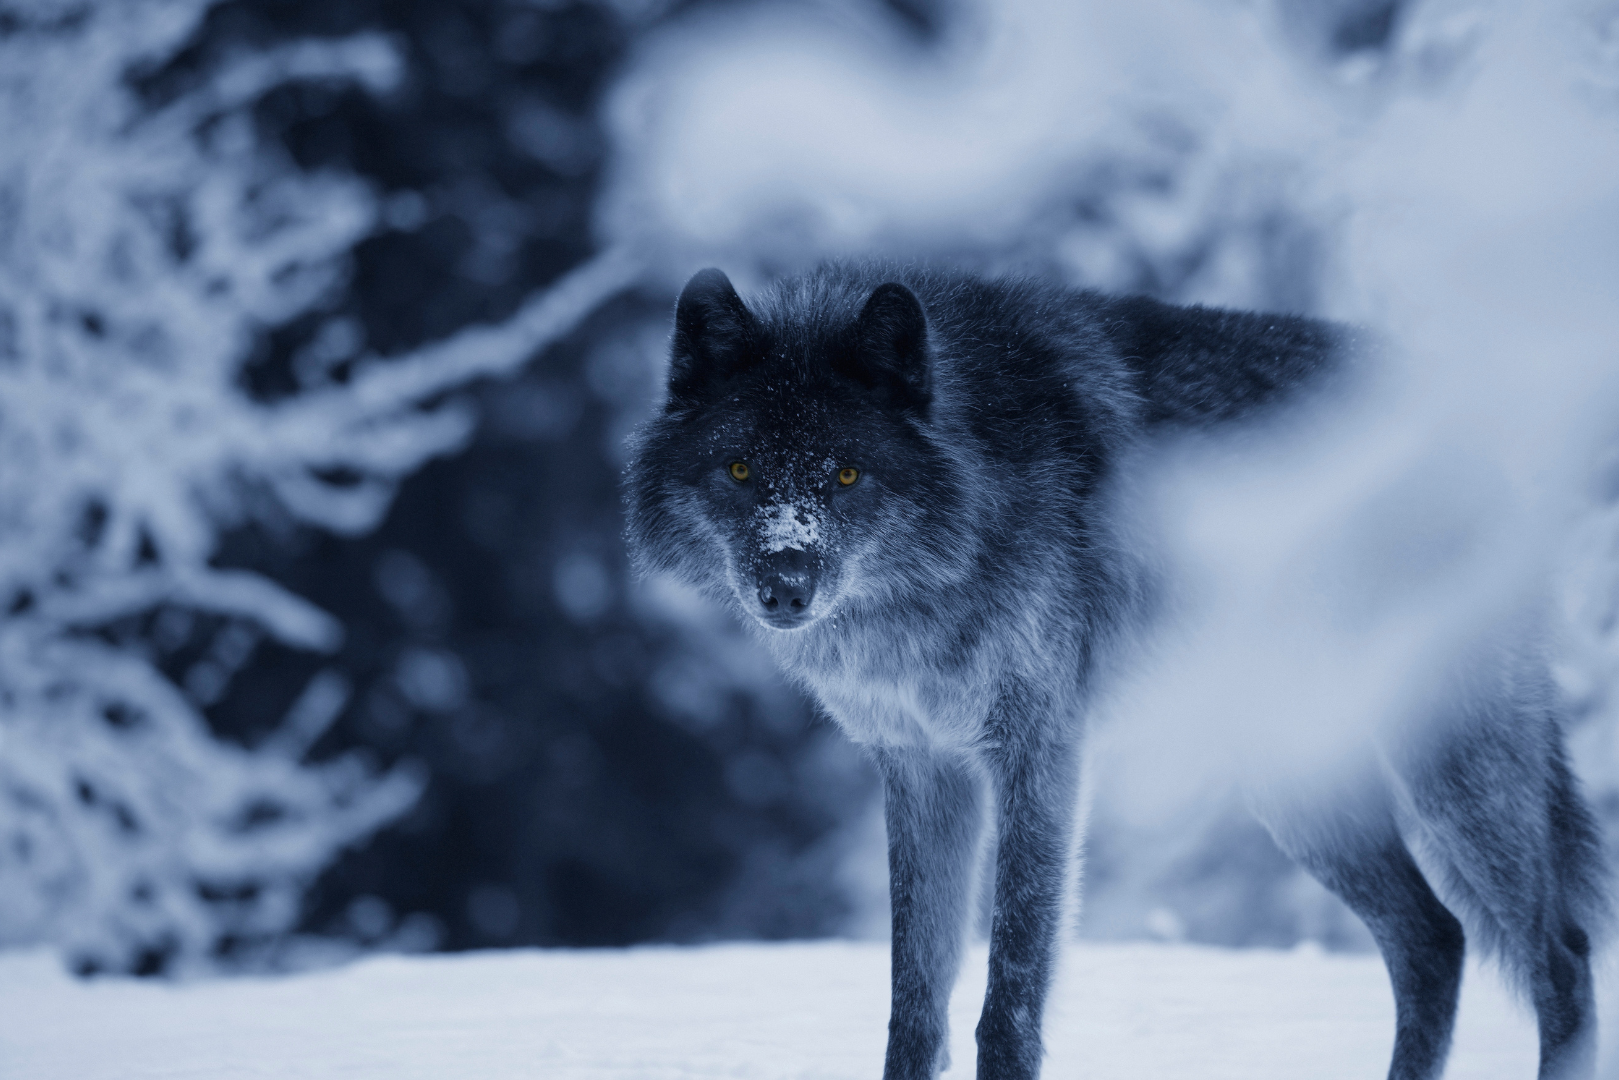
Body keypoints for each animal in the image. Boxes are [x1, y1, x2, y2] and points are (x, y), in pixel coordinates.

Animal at [623, 262, 1607, 1080]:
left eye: (845, 476)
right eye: (739, 470)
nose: (784, 585)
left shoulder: (1041, 755)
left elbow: (1008, 997)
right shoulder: (923, 770)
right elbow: (915, 1006)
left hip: (1446, 766)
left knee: (1559, 958)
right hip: (1299, 790)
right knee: (1433, 942)